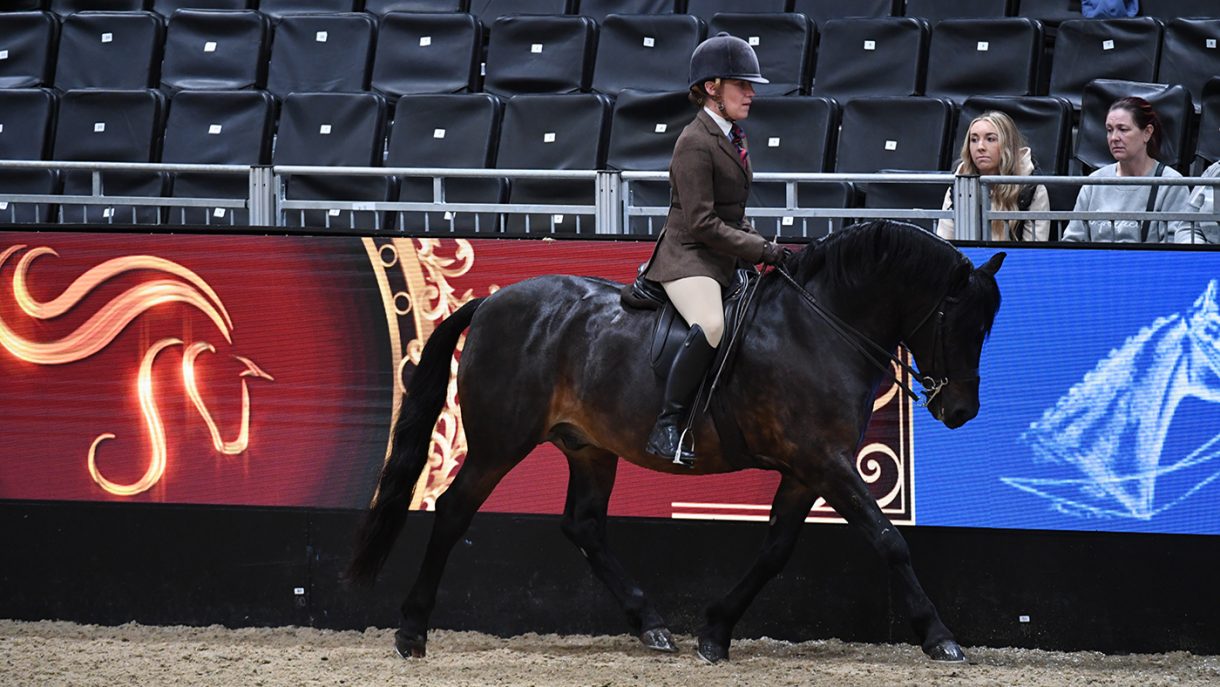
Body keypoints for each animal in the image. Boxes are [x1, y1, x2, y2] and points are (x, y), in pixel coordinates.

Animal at [348, 220, 1005, 664]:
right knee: (455, 511)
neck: (818, 326)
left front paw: (715, 632)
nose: (960, 410)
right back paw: (411, 631)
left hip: (590, 447)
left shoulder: (805, 470)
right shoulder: (826, 461)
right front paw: (940, 637)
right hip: (499, 443)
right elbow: (888, 540)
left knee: (584, 526)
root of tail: (490, 302)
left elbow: (775, 551)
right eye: (958, 324)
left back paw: (653, 625)